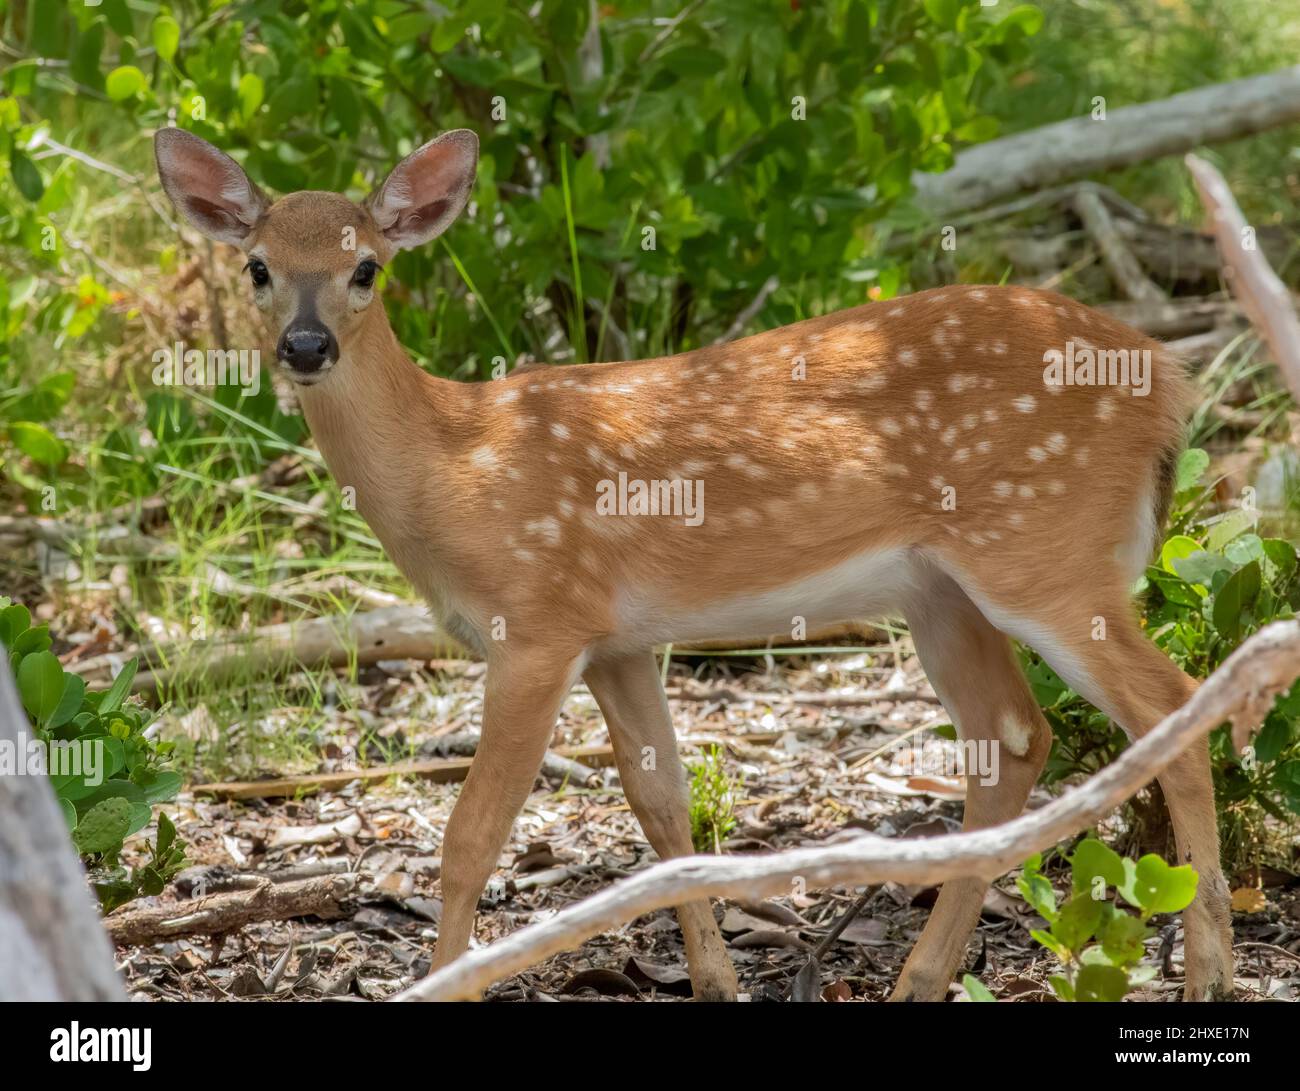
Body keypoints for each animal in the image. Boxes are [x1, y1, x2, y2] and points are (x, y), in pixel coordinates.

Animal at [154, 126, 1235, 1002]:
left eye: (369, 268)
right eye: (257, 266)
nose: (306, 345)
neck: (454, 465)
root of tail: (1171, 379)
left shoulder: (538, 619)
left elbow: (469, 837)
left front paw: (448, 983)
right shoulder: (616, 640)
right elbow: (663, 809)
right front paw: (716, 978)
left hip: (1044, 549)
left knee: (1172, 705)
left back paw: (1207, 973)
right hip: (941, 590)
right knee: (1011, 736)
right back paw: (922, 977)